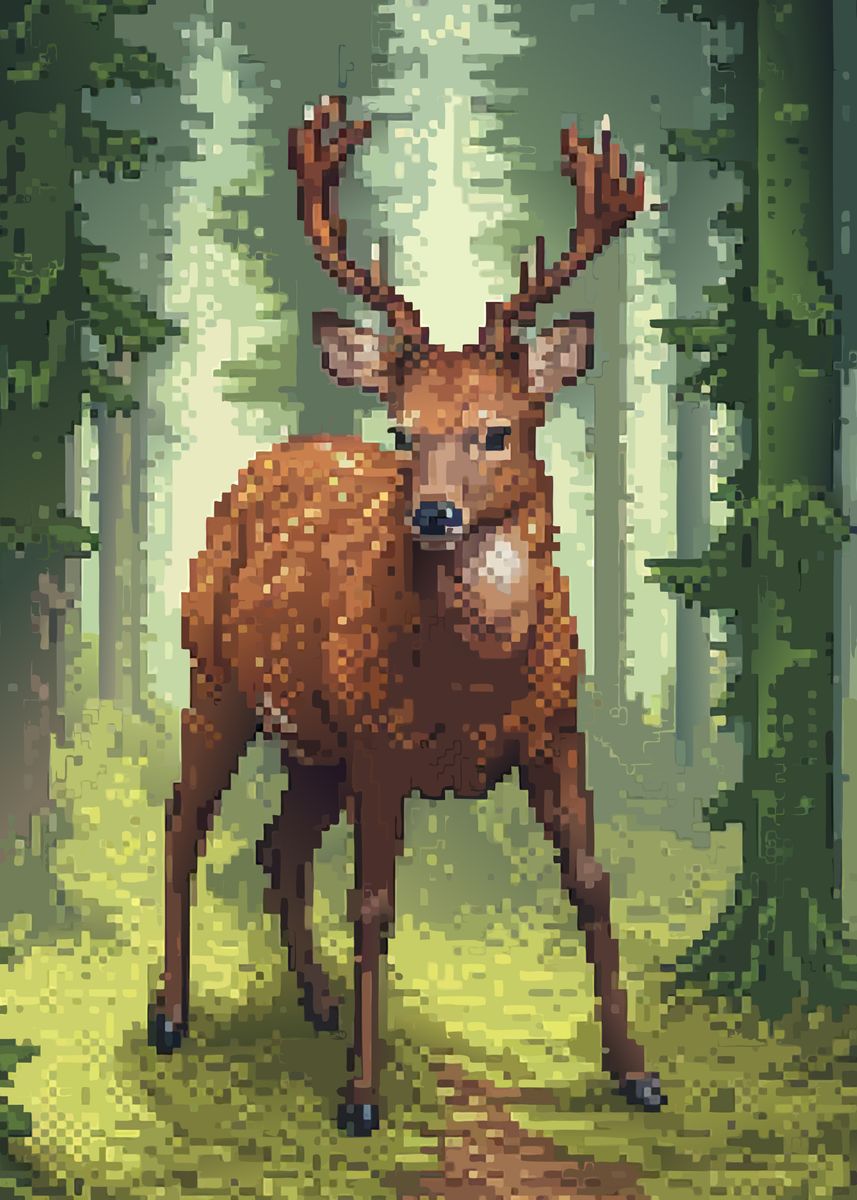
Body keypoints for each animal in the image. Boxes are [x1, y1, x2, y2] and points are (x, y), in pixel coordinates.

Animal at [148, 95, 665, 1135]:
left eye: (497, 429)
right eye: (401, 429)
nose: (432, 515)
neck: (476, 677)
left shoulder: (556, 730)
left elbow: (591, 884)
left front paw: (635, 1073)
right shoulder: (379, 741)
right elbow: (375, 905)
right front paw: (360, 1097)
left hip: (311, 742)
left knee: (277, 844)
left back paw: (315, 1001)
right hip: (213, 675)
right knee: (187, 821)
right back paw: (173, 1015)